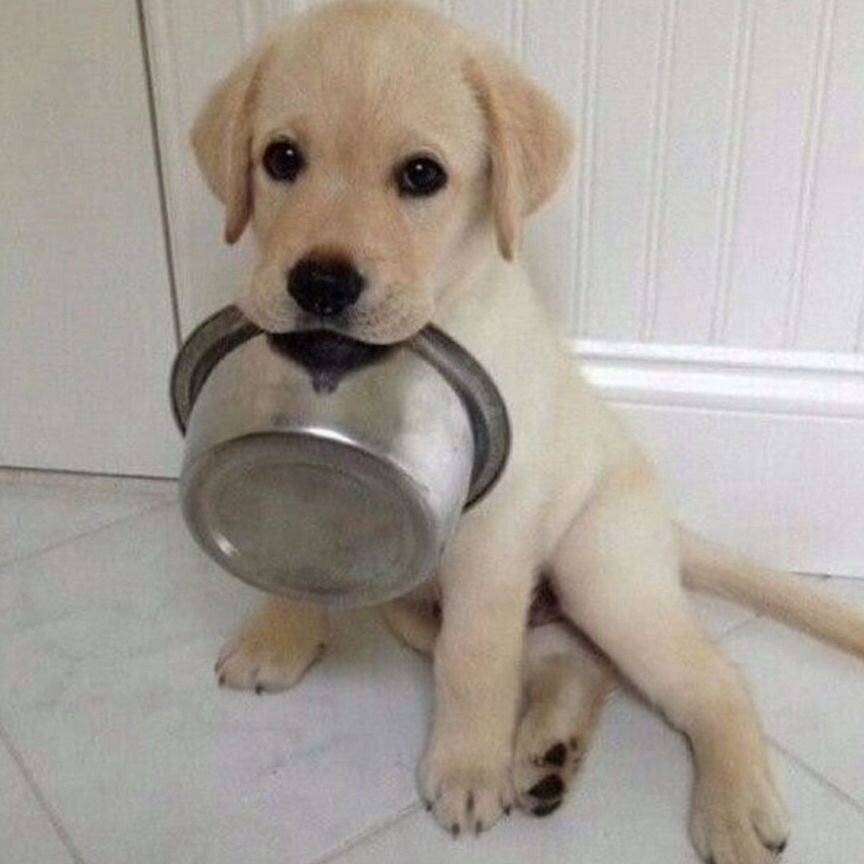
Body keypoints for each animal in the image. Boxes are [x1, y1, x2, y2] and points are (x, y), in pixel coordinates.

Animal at [191, 3, 864, 861]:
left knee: (709, 678)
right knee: (576, 662)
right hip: (427, 607)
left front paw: (465, 769)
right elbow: (295, 556)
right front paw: (278, 636)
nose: (320, 283)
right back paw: (548, 753)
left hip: (598, 566)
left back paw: (732, 805)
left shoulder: (494, 534)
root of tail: (667, 528)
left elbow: (475, 659)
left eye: (422, 175)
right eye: (281, 158)